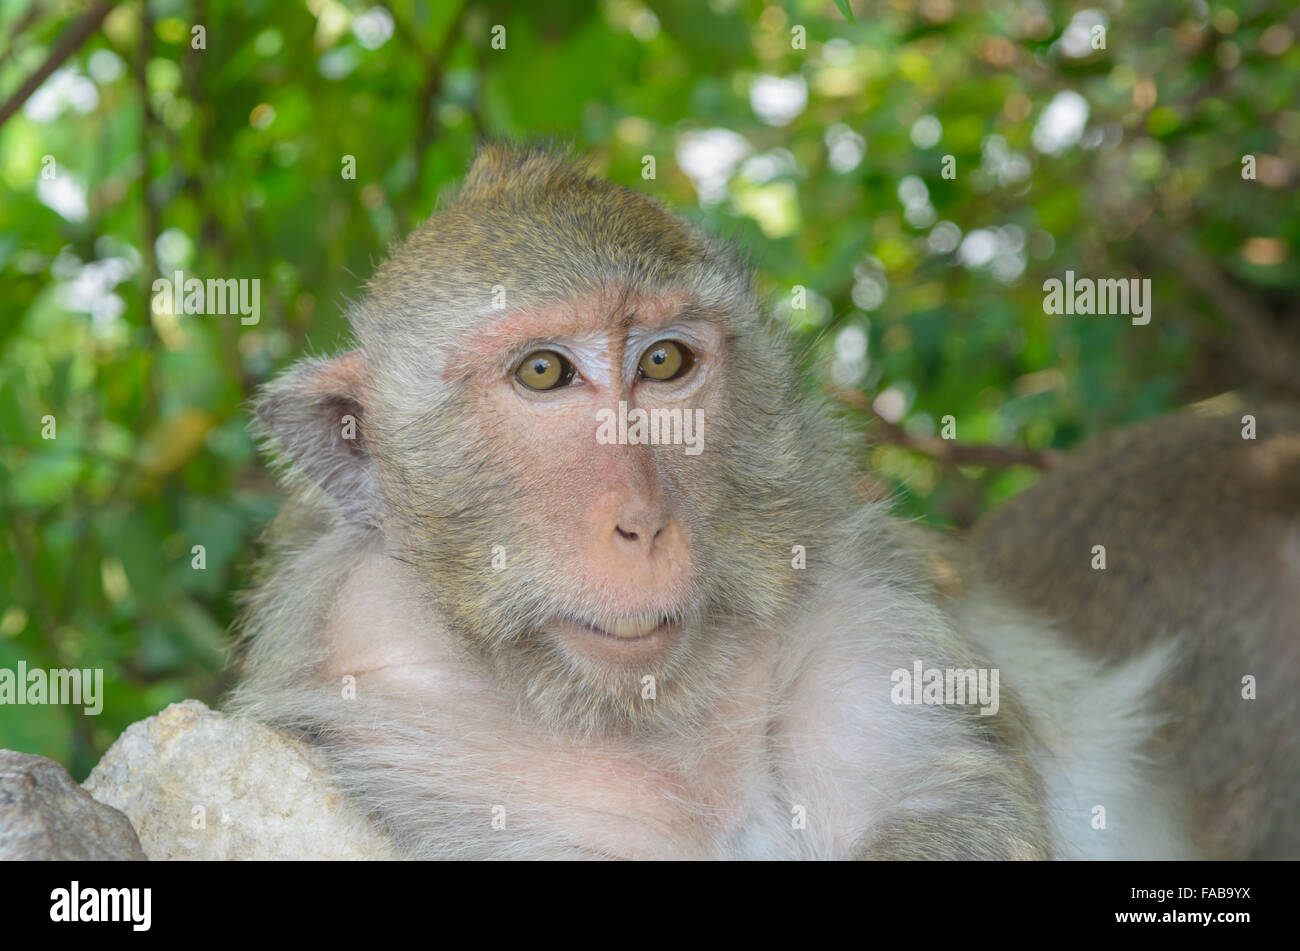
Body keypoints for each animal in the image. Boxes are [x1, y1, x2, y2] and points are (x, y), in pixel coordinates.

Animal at [227, 142, 1207, 859]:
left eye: (664, 362)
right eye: (543, 372)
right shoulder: (365, 666)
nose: (643, 523)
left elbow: (942, 802)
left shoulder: (843, 577)